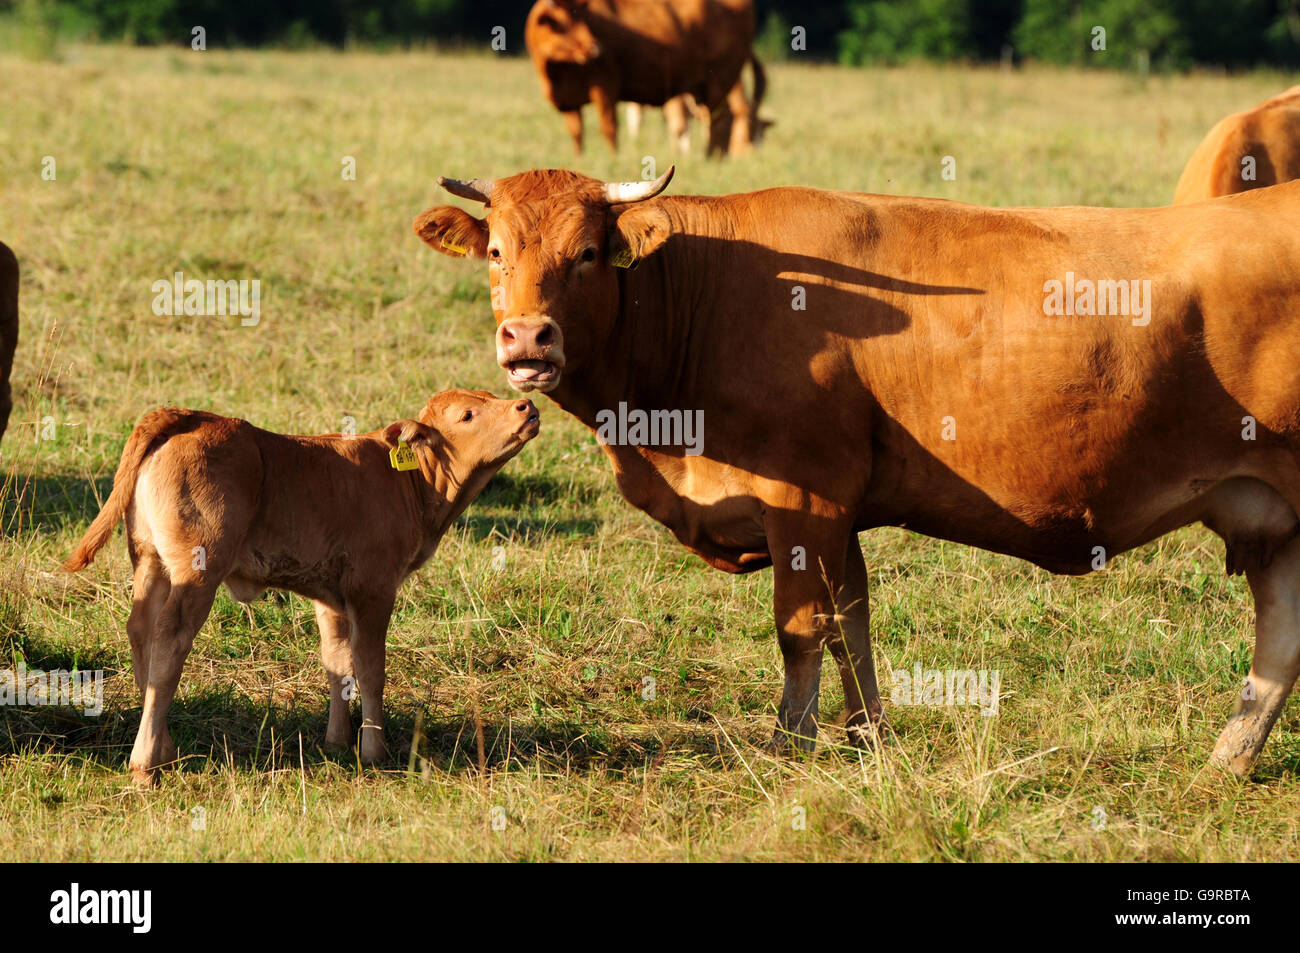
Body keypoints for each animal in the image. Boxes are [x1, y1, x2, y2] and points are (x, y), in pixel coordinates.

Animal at [64, 390, 540, 784]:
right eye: (467, 414)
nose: (527, 406)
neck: (410, 483)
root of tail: (193, 416)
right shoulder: (374, 588)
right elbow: (371, 669)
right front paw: (374, 752)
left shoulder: (332, 597)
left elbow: (337, 663)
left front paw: (336, 742)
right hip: (198, 568)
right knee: (169, 640)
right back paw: (146, 763)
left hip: (149, 559)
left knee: (140, 630)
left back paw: (163, 744)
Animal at [414, 166, 1300, 776]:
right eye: (497, 252)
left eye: (591, 253)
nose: (528, 339)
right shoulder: (840, 513)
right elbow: (852, 622)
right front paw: (868, 735)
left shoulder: (804, 497)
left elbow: (802, 627)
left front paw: (791, 739)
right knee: (1278, 650)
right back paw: (1227, 760)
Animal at [524, 0, 766, 157]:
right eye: (561, 24)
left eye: (580, 19)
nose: (595, 47)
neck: (557, 73)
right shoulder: (569, 100)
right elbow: (576, 133)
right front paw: (579, 161)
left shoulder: (605, 85)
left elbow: (609, 128)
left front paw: (613, 159)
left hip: (720, 78)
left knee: (719, 120)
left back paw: (710, 158)